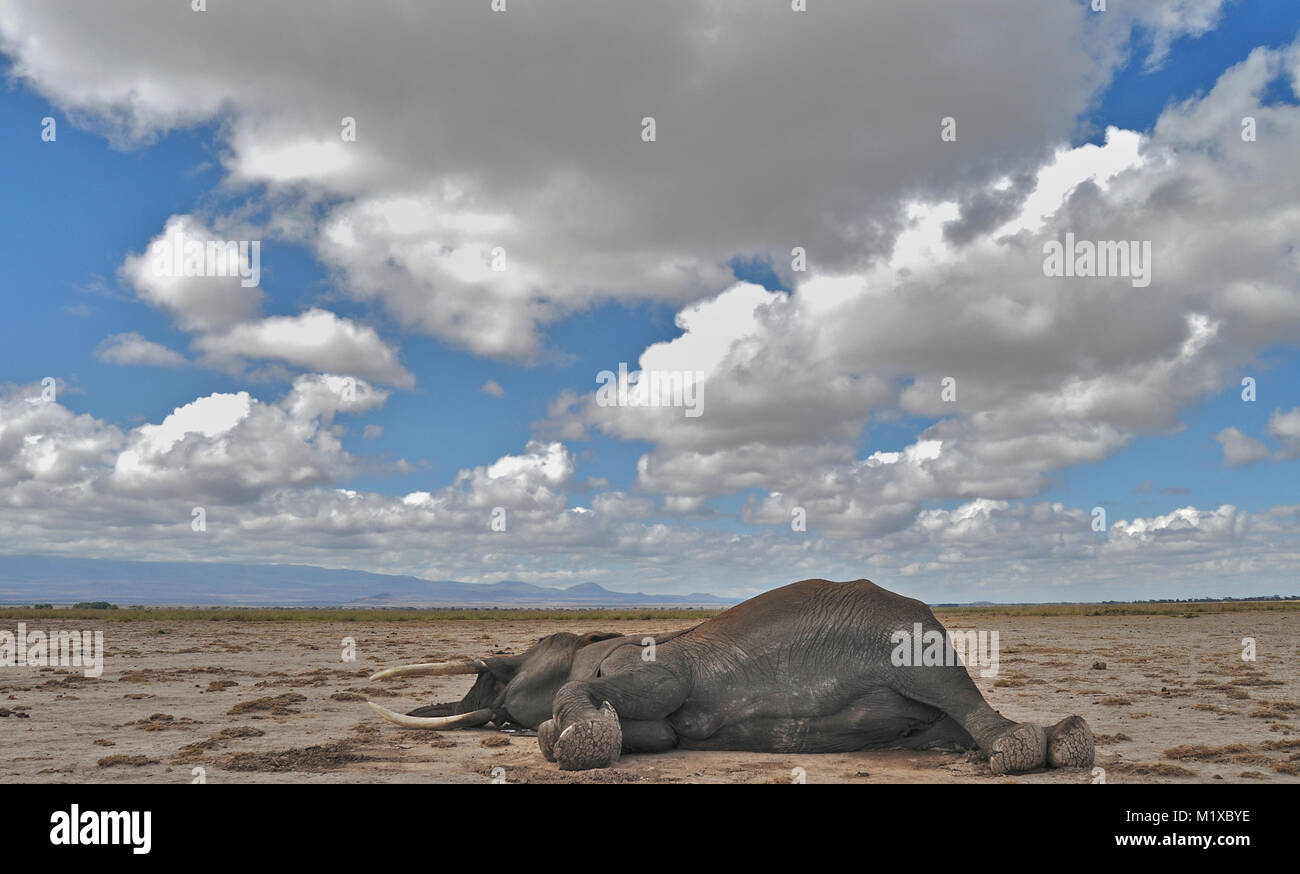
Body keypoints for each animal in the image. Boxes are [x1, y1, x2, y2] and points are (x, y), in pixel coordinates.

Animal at [366, 578, 1094, 774]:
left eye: (507, 668)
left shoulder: (647, 662)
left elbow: (657, 693)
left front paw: (563, 739)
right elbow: (659, 734)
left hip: (910, 638)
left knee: (956, 694)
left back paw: (1028, 747)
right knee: (944, 724)